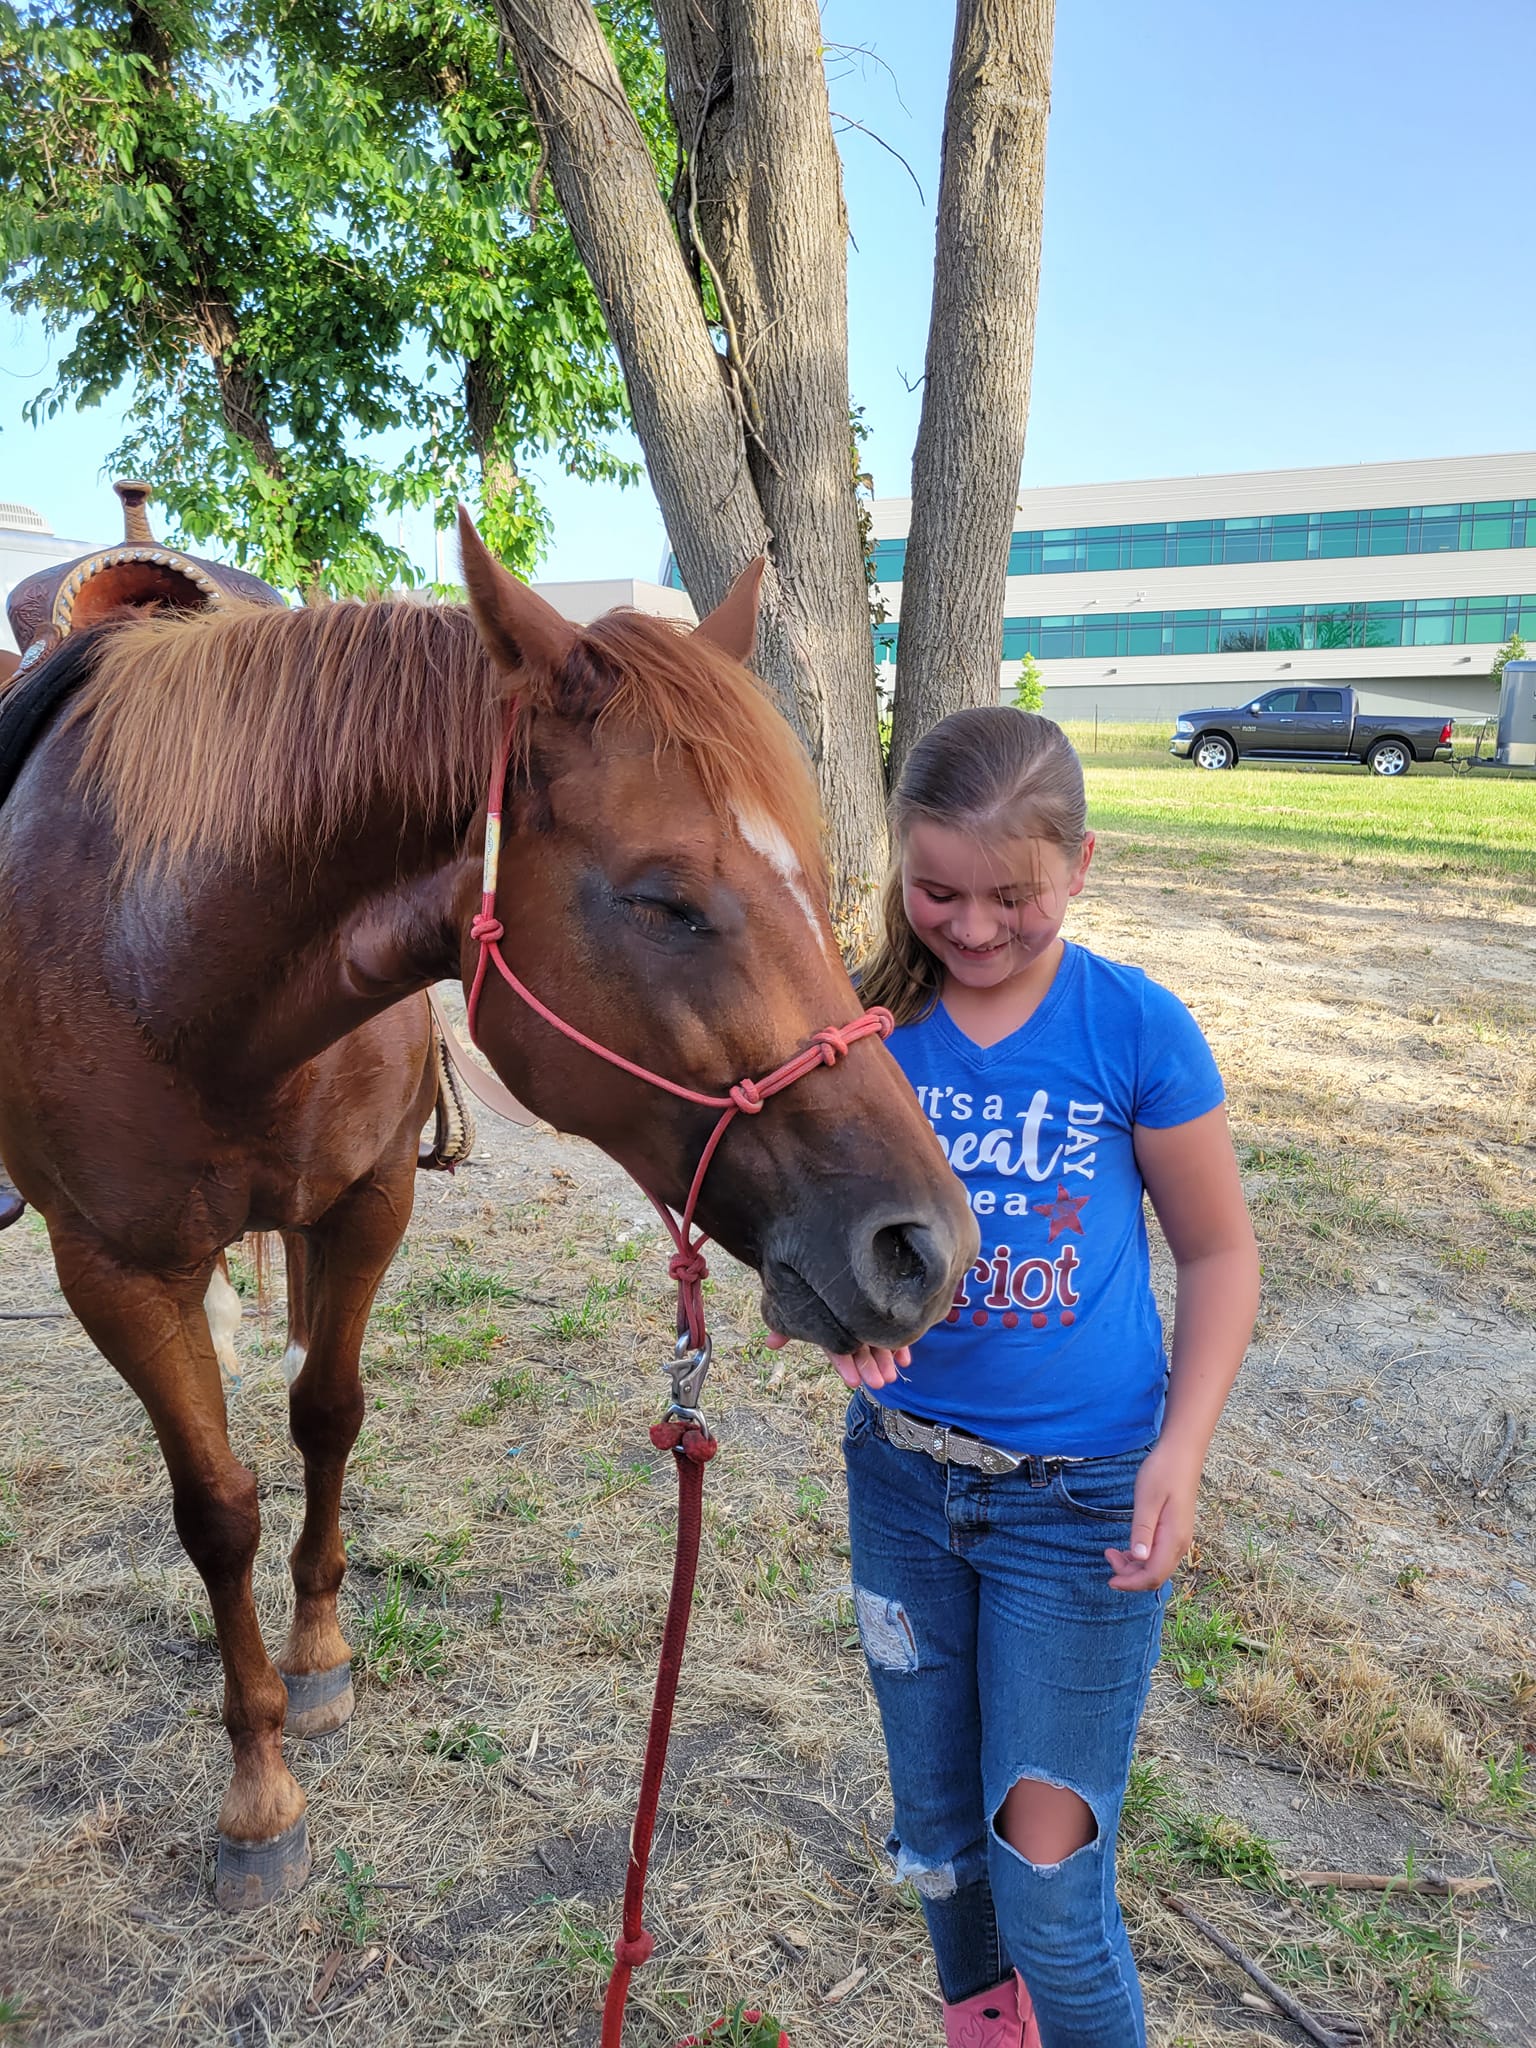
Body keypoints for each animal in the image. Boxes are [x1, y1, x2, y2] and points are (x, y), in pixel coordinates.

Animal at [0, 513, 975, 1910]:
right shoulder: (117, 1275)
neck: (165, 959)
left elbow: (327, 1415)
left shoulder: (368, 1202)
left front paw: (320, 1653)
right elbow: (219, 1508)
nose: (923, 1248)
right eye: (664, 898)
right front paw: (258, 1785)